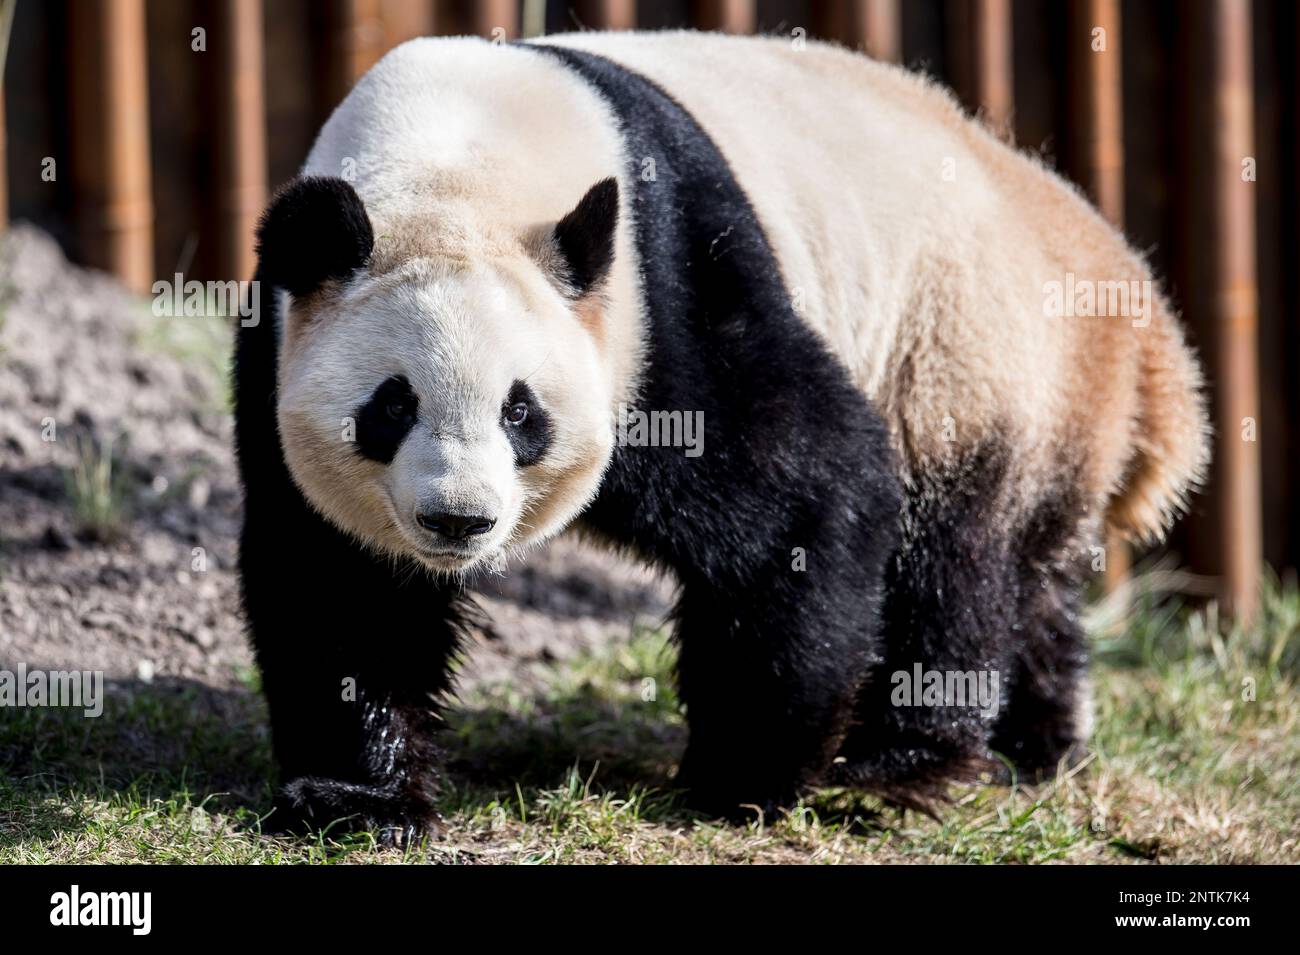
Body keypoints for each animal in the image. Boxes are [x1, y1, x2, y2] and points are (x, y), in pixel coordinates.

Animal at [235, 31, 1209, 842]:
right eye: (392, 405)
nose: (458, 521)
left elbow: (809, 489)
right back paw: (1039, 744)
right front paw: (357, 798)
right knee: (1032, 577)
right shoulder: (283, 334)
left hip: (966, 356)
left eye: (521, 410)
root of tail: (1120, 281)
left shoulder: (669, 294)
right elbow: (340, 577)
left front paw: (745, 774)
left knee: (957, 562)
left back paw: (901, 763)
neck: (458, 156)